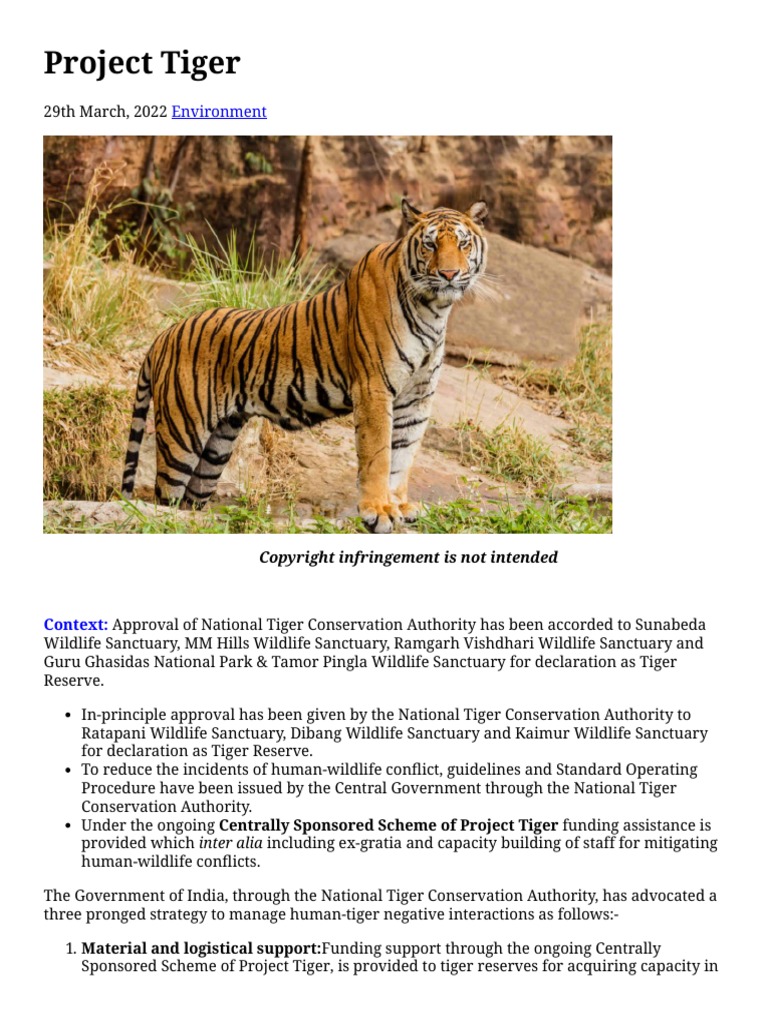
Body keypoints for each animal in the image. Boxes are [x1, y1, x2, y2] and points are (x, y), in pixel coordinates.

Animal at [122, 198, 488, 533]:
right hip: (182, 434)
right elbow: (379, 455)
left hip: (217, 445)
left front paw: (399, 505)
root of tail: (164, 334)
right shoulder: (374, 389)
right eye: (430, 244)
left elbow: (403, 456)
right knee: (164, 497)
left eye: (462, 243)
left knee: (190, 500)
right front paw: (378, 511)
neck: (434, 309)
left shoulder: (417, 398)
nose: (449, 274)